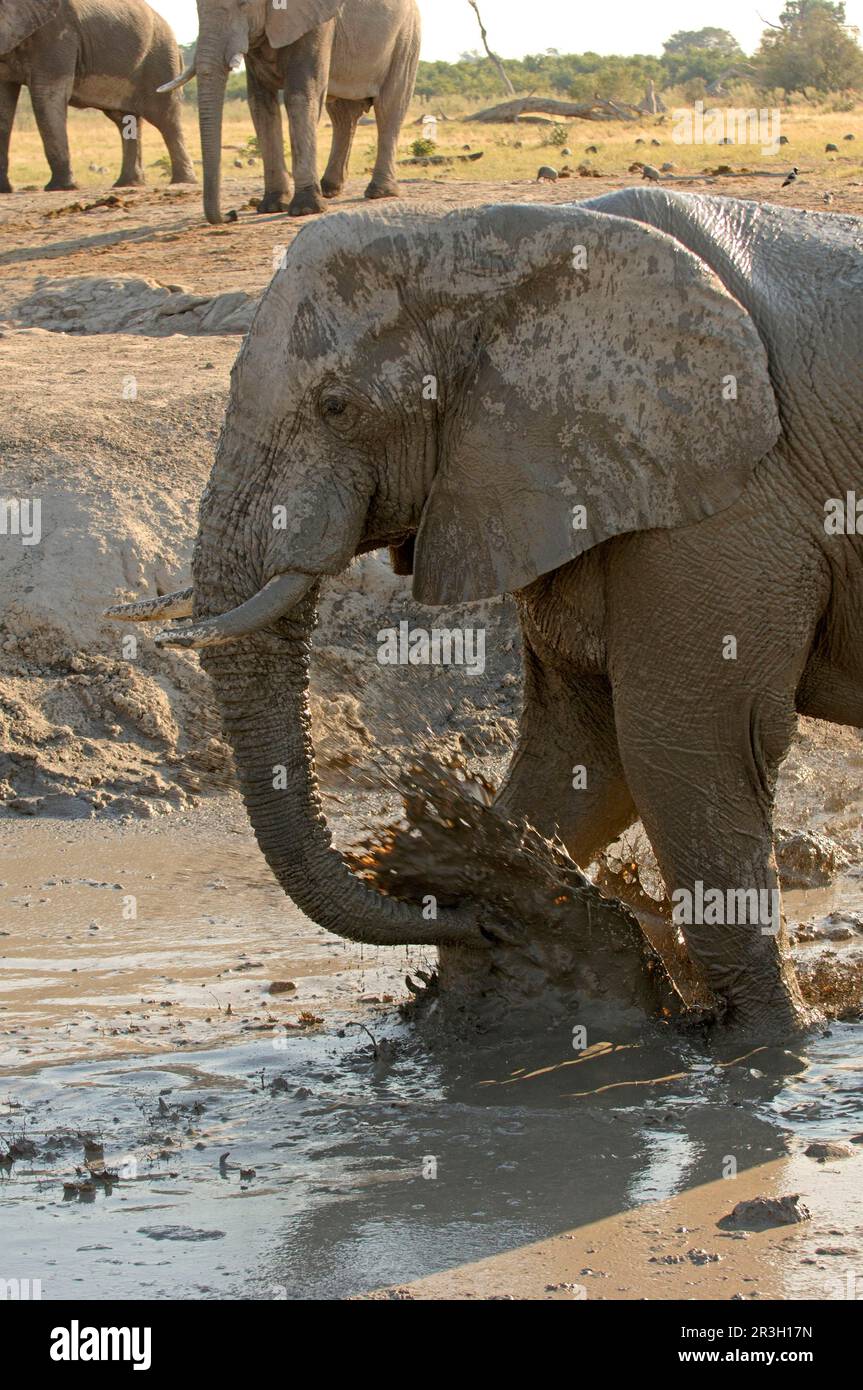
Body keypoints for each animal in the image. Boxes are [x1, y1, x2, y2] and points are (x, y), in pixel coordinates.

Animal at [0, 0, 195, 193]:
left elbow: (47, 94)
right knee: (124, 119)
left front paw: (61, 188)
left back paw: (182, 182)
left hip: (161, 57)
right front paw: (4, 189)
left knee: (165, 118)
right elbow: (4, 101)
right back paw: (127, 184)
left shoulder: (57, 34)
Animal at [107, 189, 863, 1036]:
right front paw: (505, 941)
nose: (468, 920)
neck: (489, 242)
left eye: (336, 407)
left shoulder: (730, 497)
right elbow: (579, 751)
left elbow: (688, 745)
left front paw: (765, 1044)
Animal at [164, 0, 420, 223]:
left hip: (407, 37)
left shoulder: (317, 26)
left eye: (244, 3)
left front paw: (305, 209)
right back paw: (328, 189)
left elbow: (300, 95)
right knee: (342, 115)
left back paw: (380, 192)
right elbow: (260, 104)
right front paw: (272, 206)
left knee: (389, 106)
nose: (231, 214)